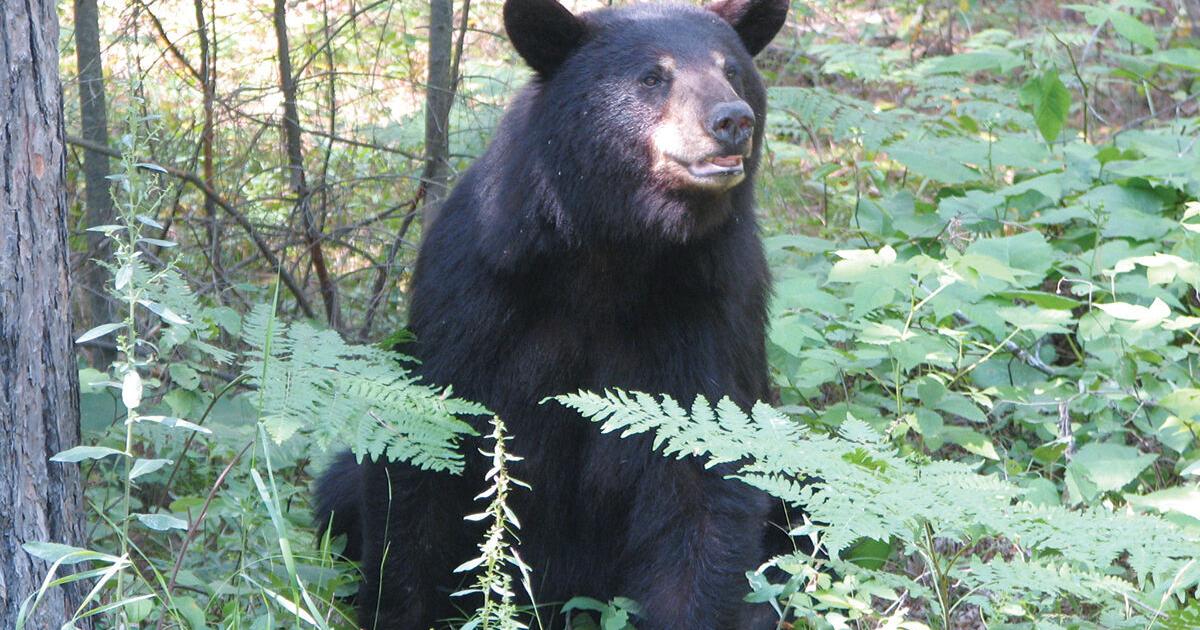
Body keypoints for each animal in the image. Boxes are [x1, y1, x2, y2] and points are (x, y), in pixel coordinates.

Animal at [316, 0, 789, 627]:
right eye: (652, 77)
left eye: (732, 70)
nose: (732, 120)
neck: (613, 248)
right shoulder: (474, 288)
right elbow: (428, 447)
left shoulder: (714, 302)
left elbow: (703, 473)